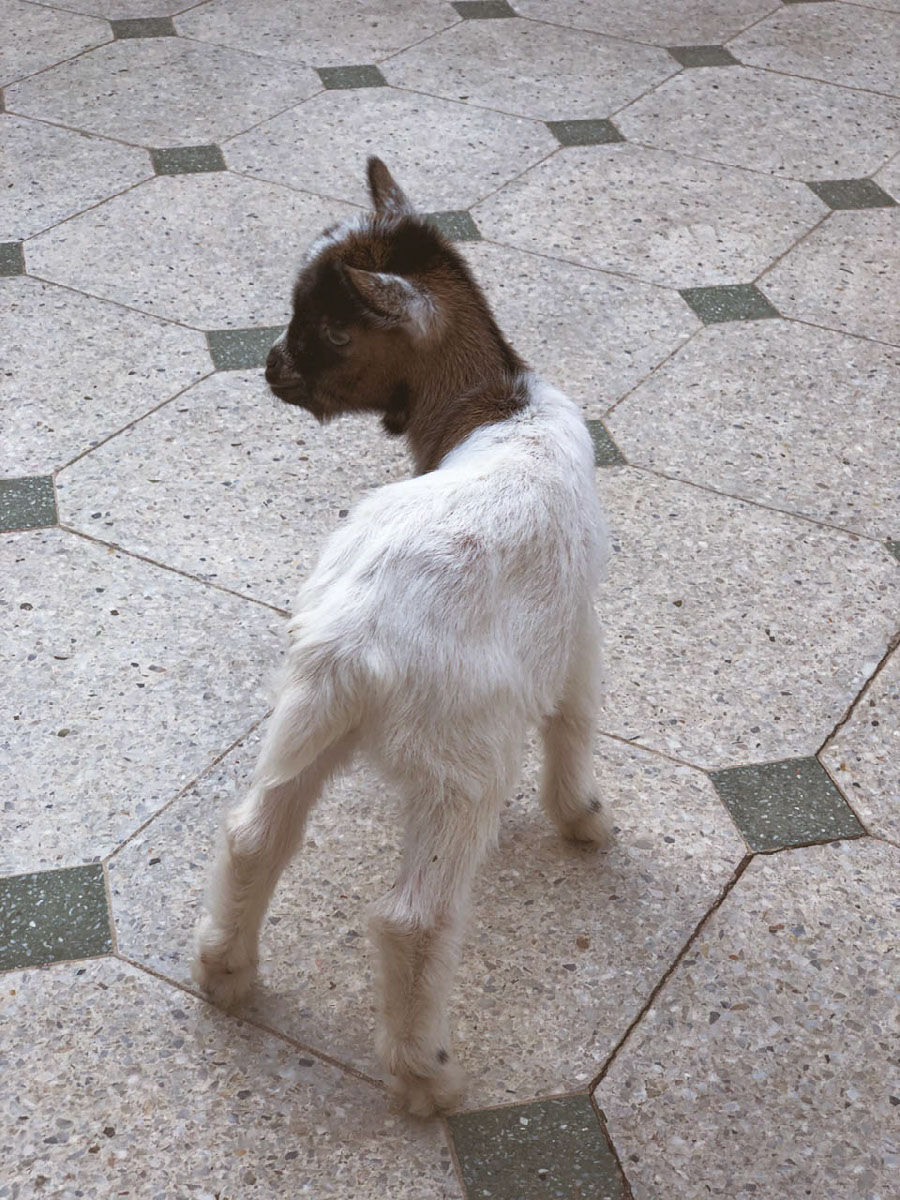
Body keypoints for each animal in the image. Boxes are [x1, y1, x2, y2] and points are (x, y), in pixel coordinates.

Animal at [192, 158, 611, 1116]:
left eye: (330, 330)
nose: (272, 368)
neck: (494, 407)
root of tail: (360, 644)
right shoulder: (577, 629)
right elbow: (574, 719)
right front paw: (583, 819)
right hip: (461, 763)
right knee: (414, 918)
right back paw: (427, 1077)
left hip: (305, 711)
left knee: (254, 833)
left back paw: (224, 973)